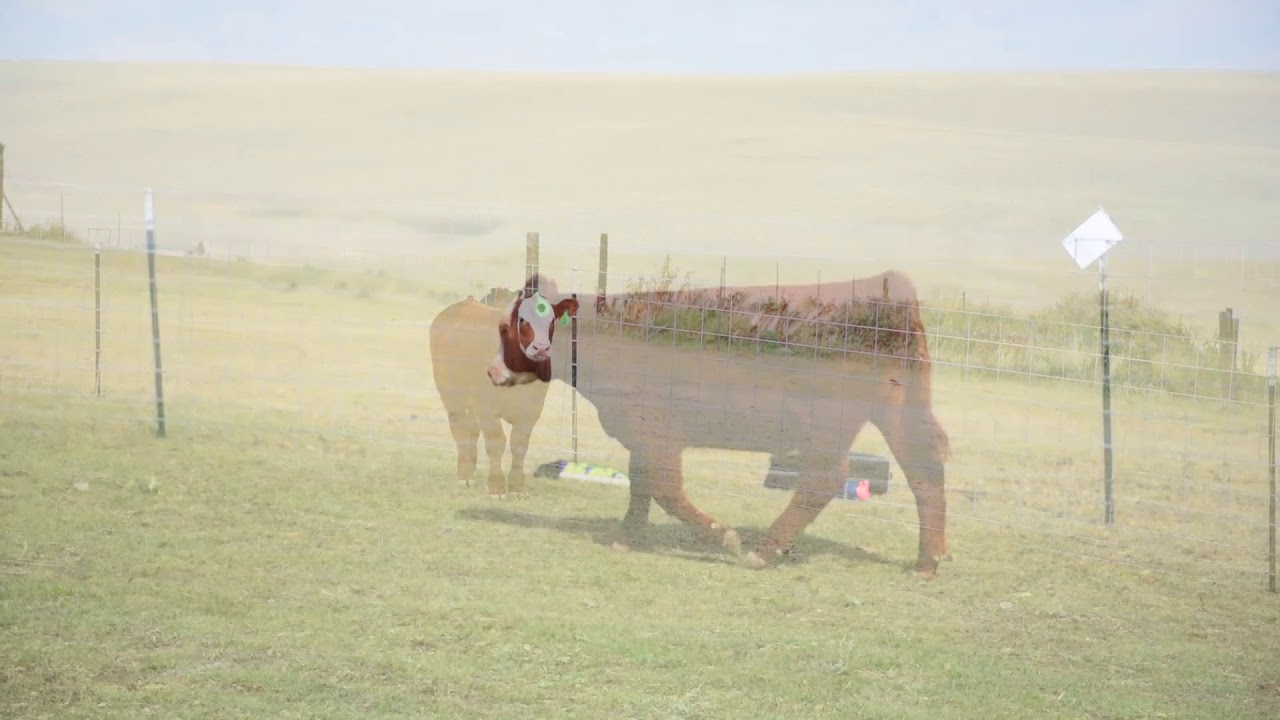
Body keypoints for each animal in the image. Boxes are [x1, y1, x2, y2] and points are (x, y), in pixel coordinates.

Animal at [429, 281, 577, 498]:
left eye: (550, 320)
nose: (540, 347)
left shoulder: (531, 410)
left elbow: (520, 445)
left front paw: (517, 488)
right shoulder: (486, 407)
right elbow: (496, 441)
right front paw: (496, 487)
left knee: (472, 430)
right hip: (451, 394)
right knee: (459, 428)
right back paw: (465, 474)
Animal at [487, 272, 951, 577]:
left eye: (522, 325)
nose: (491, 371)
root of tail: (888, 285)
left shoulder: (657, 431)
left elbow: (666, 489)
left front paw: (724, 536)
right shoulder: (643, 433)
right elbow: (643, 484)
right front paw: (628, 536)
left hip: (830, 424)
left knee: (825, 479)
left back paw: (763, 550)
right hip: (898, 411)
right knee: (924, 469)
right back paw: (928, 561)